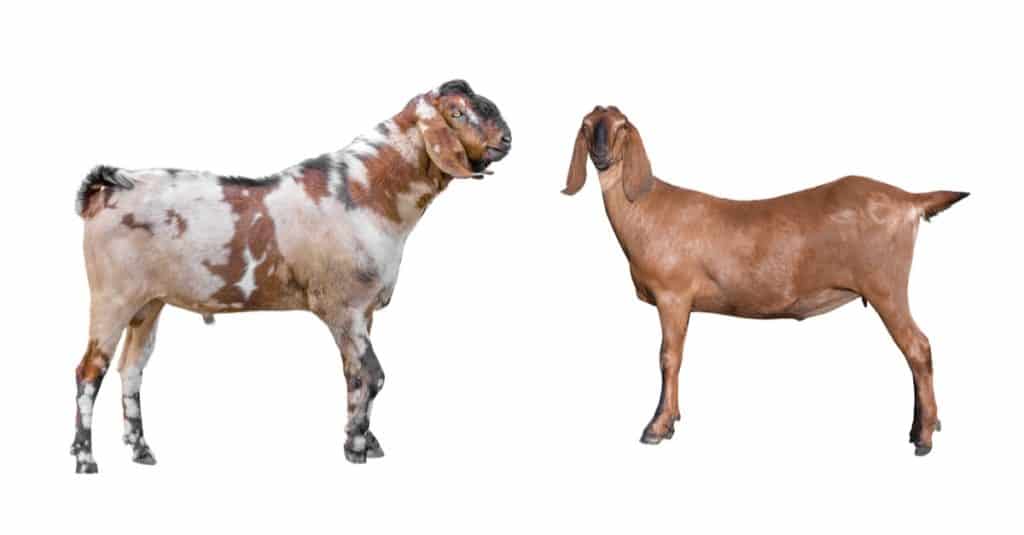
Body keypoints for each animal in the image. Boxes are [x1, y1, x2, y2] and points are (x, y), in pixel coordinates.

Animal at [71, 80, 511, 473]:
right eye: (455, 112)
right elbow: (372, 375)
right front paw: (356, 448)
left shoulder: (363, 311)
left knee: (131, 369)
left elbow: (354, 376)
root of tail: (105, 190)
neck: (367, 191)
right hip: (112, 297)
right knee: (90, 371)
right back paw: (85, 459)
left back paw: (140, 450)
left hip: (148, 303)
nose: (506, 139)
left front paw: (364, 440)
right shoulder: (343, 306)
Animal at [563, 106, 967, 456]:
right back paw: (921, 426)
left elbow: (669, 357)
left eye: (621, 127)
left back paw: (924, 437)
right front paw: (673, 419)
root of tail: (908, 200)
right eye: (587, 125)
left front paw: (657, 427)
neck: (646, 209)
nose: (600, 155)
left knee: (918, 347)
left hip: (886, 285)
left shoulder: (673, 294)